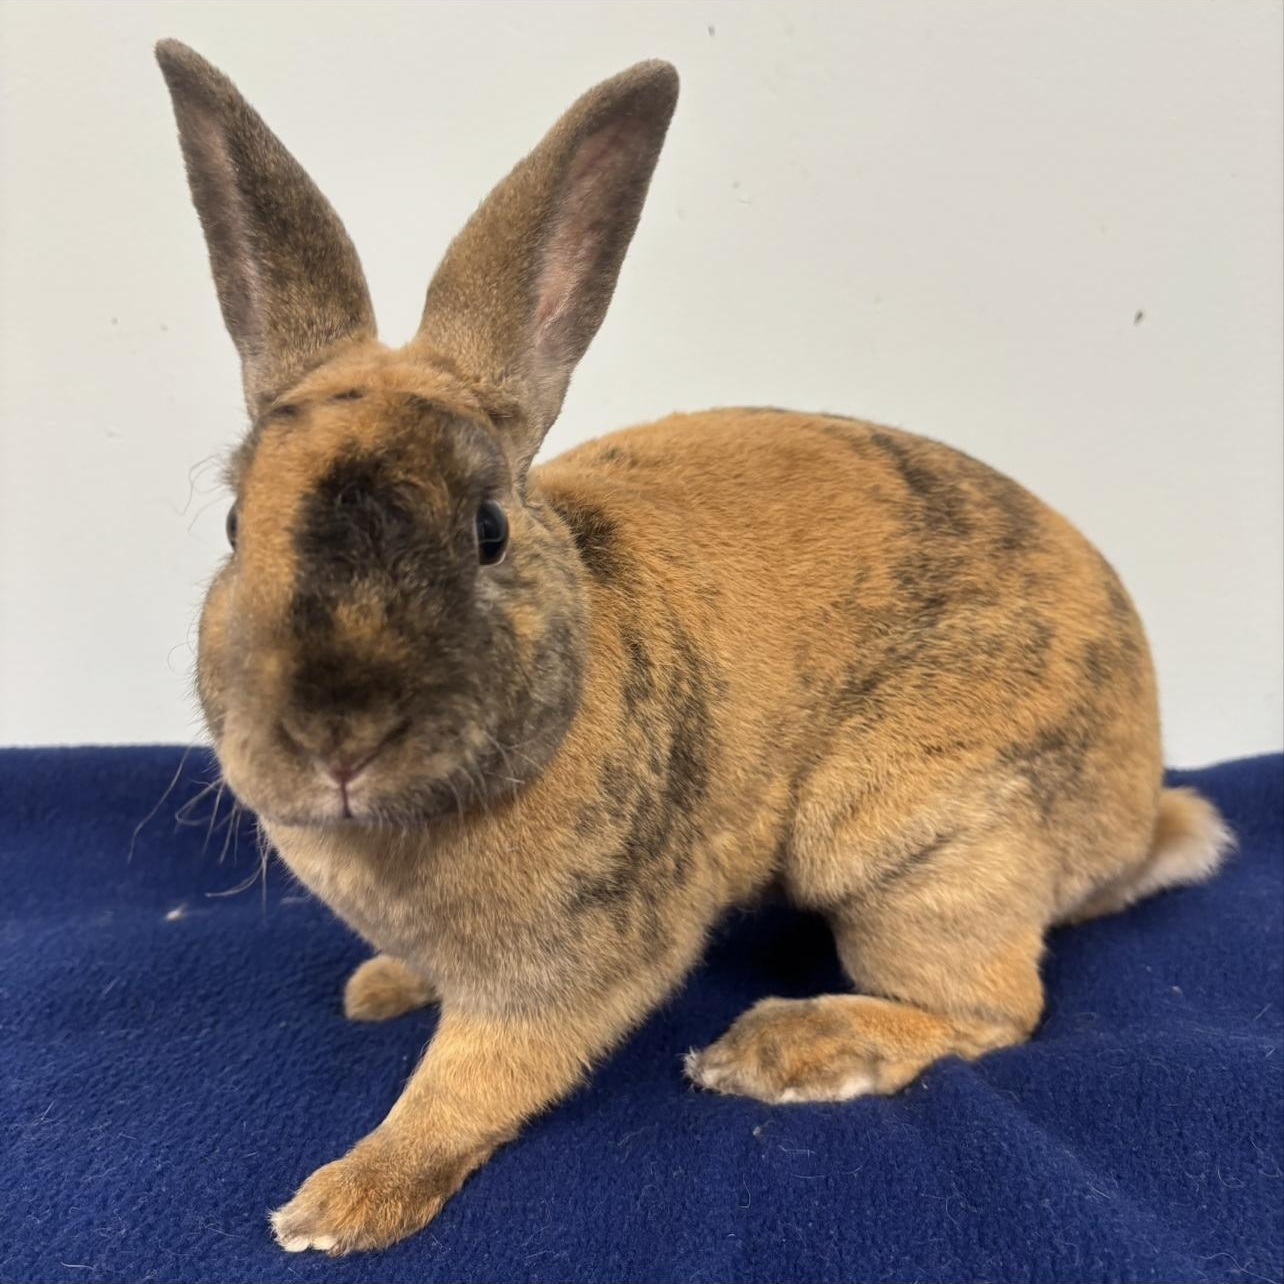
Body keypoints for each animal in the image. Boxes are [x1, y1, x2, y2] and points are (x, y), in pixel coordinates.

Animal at [155, 39, 1233, 1255]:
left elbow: (467, 1085)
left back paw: (780, 1051)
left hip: (924, 850)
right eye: (236, 524)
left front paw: (343, 1204)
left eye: (488, 530)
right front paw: (383, 988)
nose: (338, 738)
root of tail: (1136, 817)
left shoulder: (569, 970)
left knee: (993, 1010)